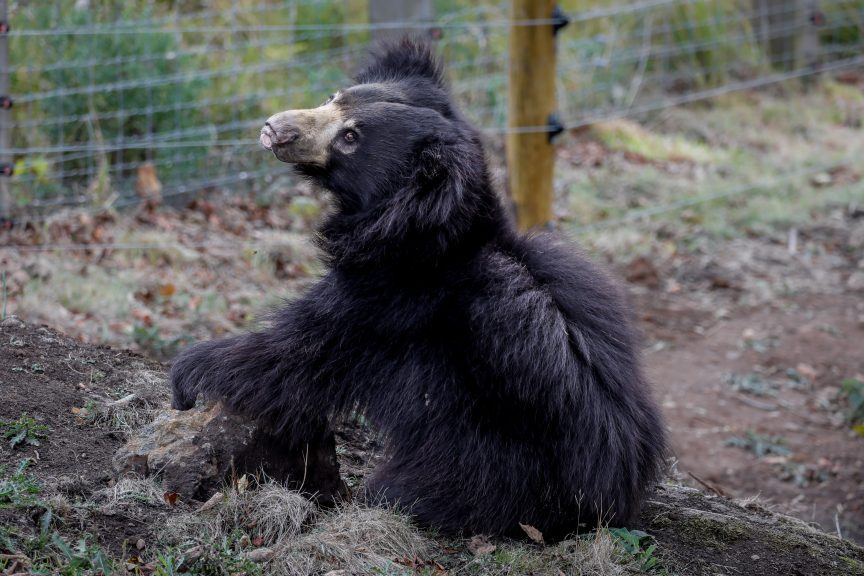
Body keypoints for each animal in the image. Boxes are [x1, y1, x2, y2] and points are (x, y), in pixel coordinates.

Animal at [170, 39, 667, 538]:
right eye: (334, 98)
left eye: (351, 138)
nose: (273, 128)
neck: (420, 227)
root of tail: (605, 503)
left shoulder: (385, 299)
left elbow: (296, 353)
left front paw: (190, 373)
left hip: (481, 461)